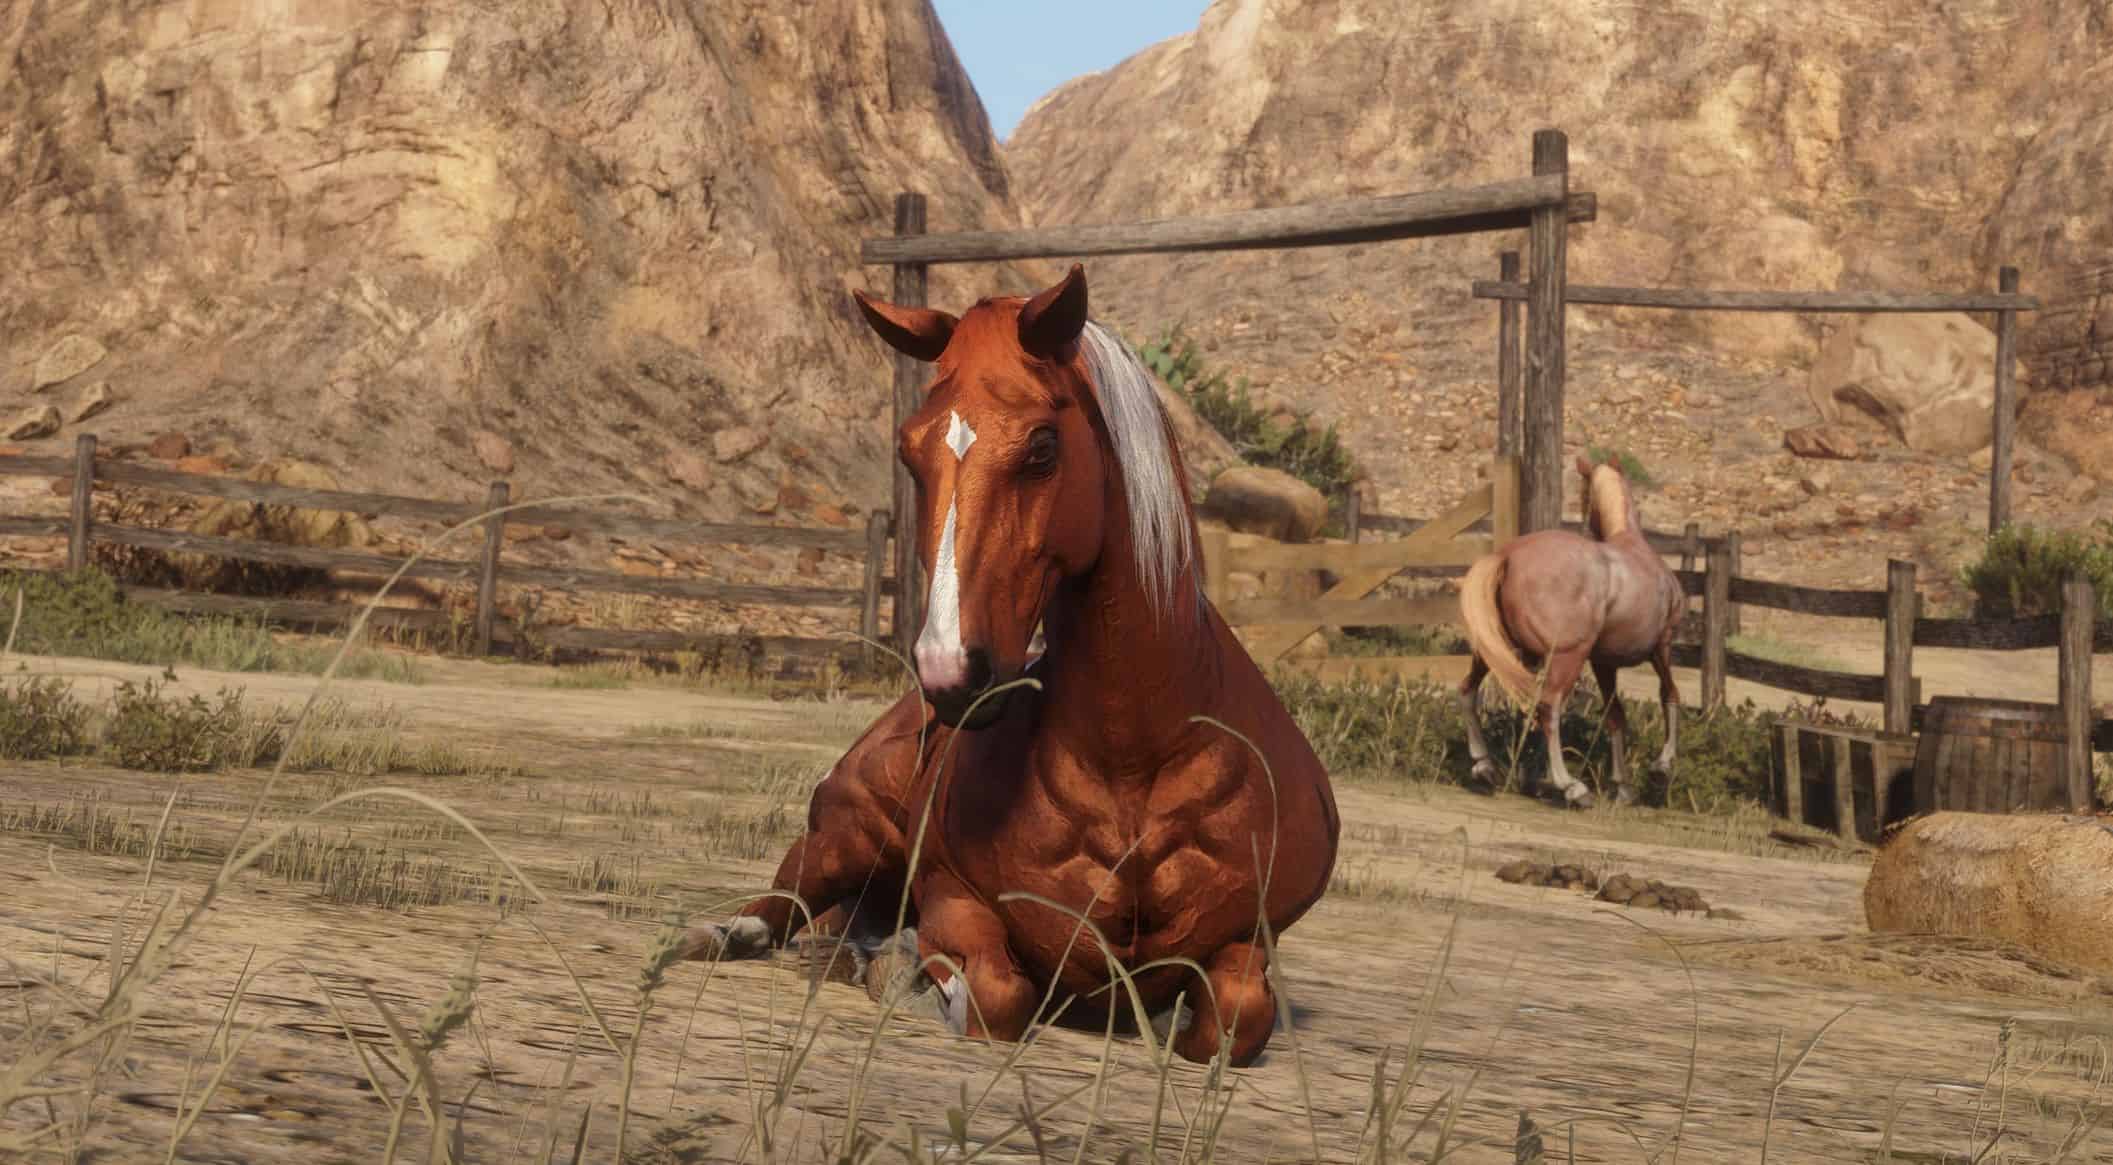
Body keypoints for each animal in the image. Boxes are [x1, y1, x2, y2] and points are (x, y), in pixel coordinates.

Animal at [677, 263, 1340, 1068]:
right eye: (909, 453)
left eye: (1043, 447)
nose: (948, 672)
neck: (1136, 760)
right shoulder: (955, 898)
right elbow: (996, 992)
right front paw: (906, 969)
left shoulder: (1246, 942)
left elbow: (1235, 1017)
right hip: (851, 829)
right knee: (789, 894)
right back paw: (738, 934)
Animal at [1454, 454, 1686, 809]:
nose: (1586, 528)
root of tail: (1507, 556)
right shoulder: (1662, 647)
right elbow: (1669, 695)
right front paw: (1661, 769)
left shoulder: (1604, 663)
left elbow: (1615, 715)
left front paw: (1623, 787)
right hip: (1566, 658)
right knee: (1549, 708)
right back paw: (1572, 788)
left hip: (1496, 653)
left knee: (1470, 690)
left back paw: (1486, 767)